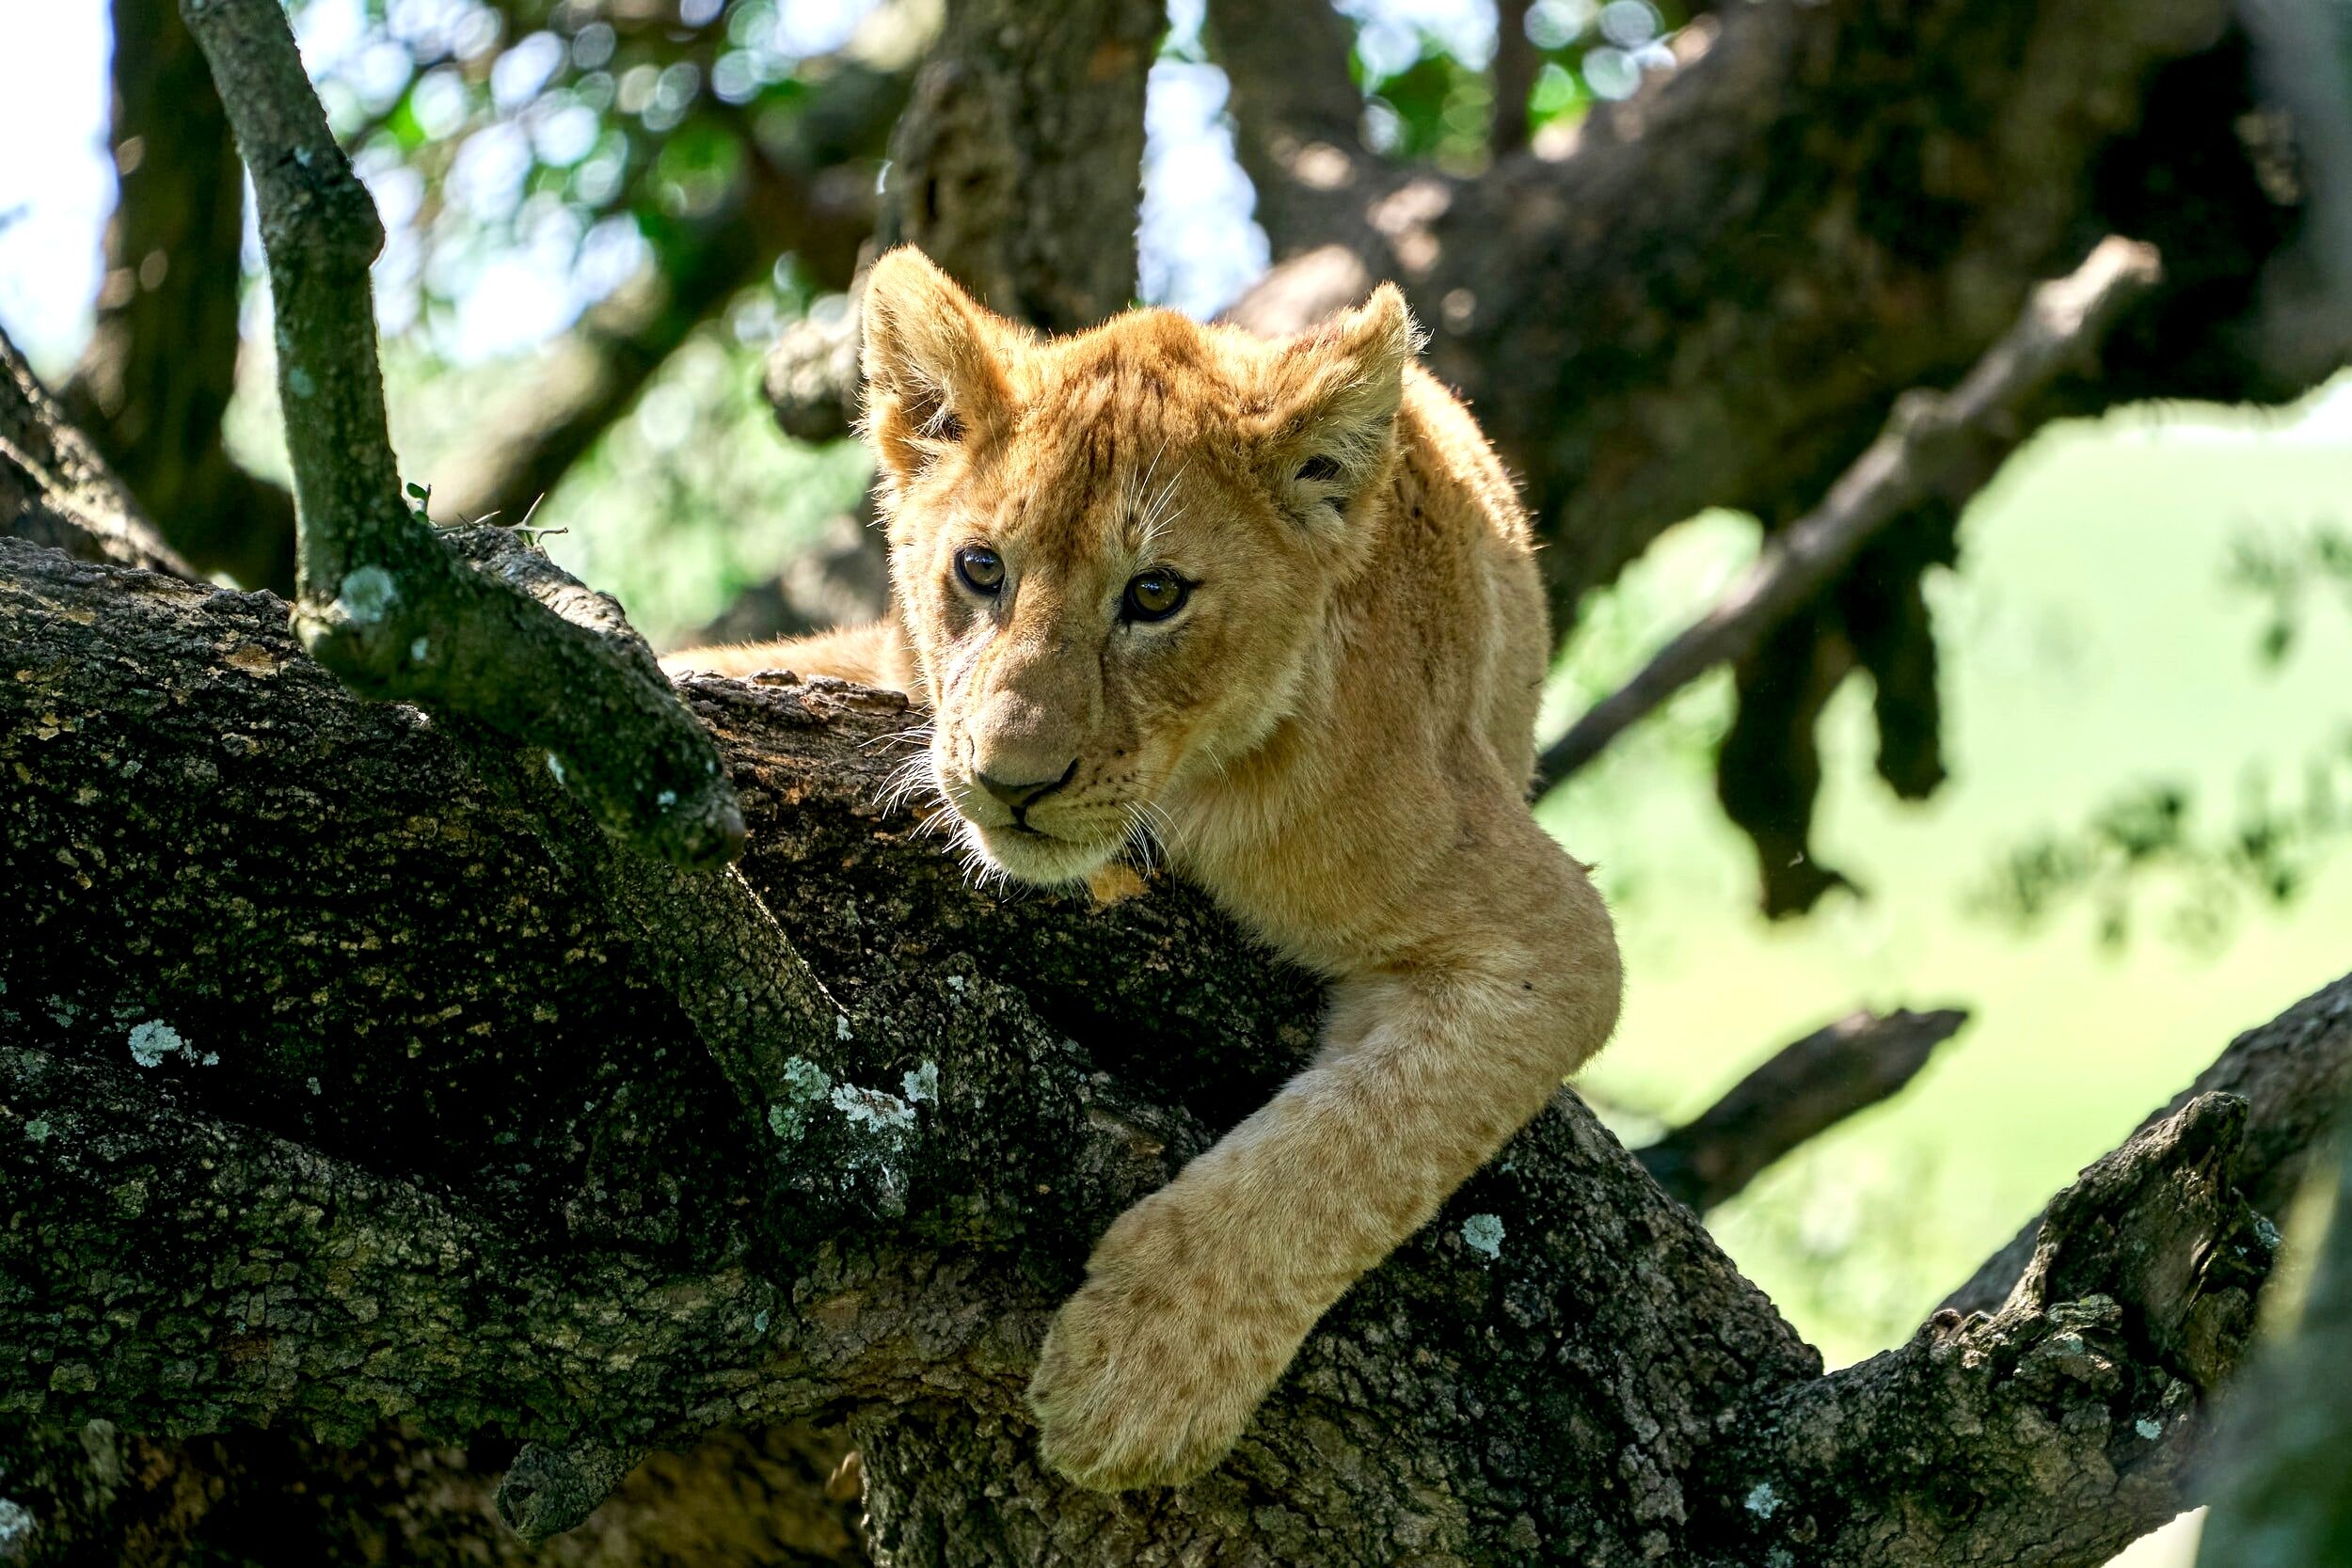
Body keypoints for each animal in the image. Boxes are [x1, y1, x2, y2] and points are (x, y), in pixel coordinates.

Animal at [666, 248, 1623, 1491]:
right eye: (981, 568)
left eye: (1156, 594)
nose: (1012, 778)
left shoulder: (1545, 935)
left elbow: (1352, 1143)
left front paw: (1140, 1373)